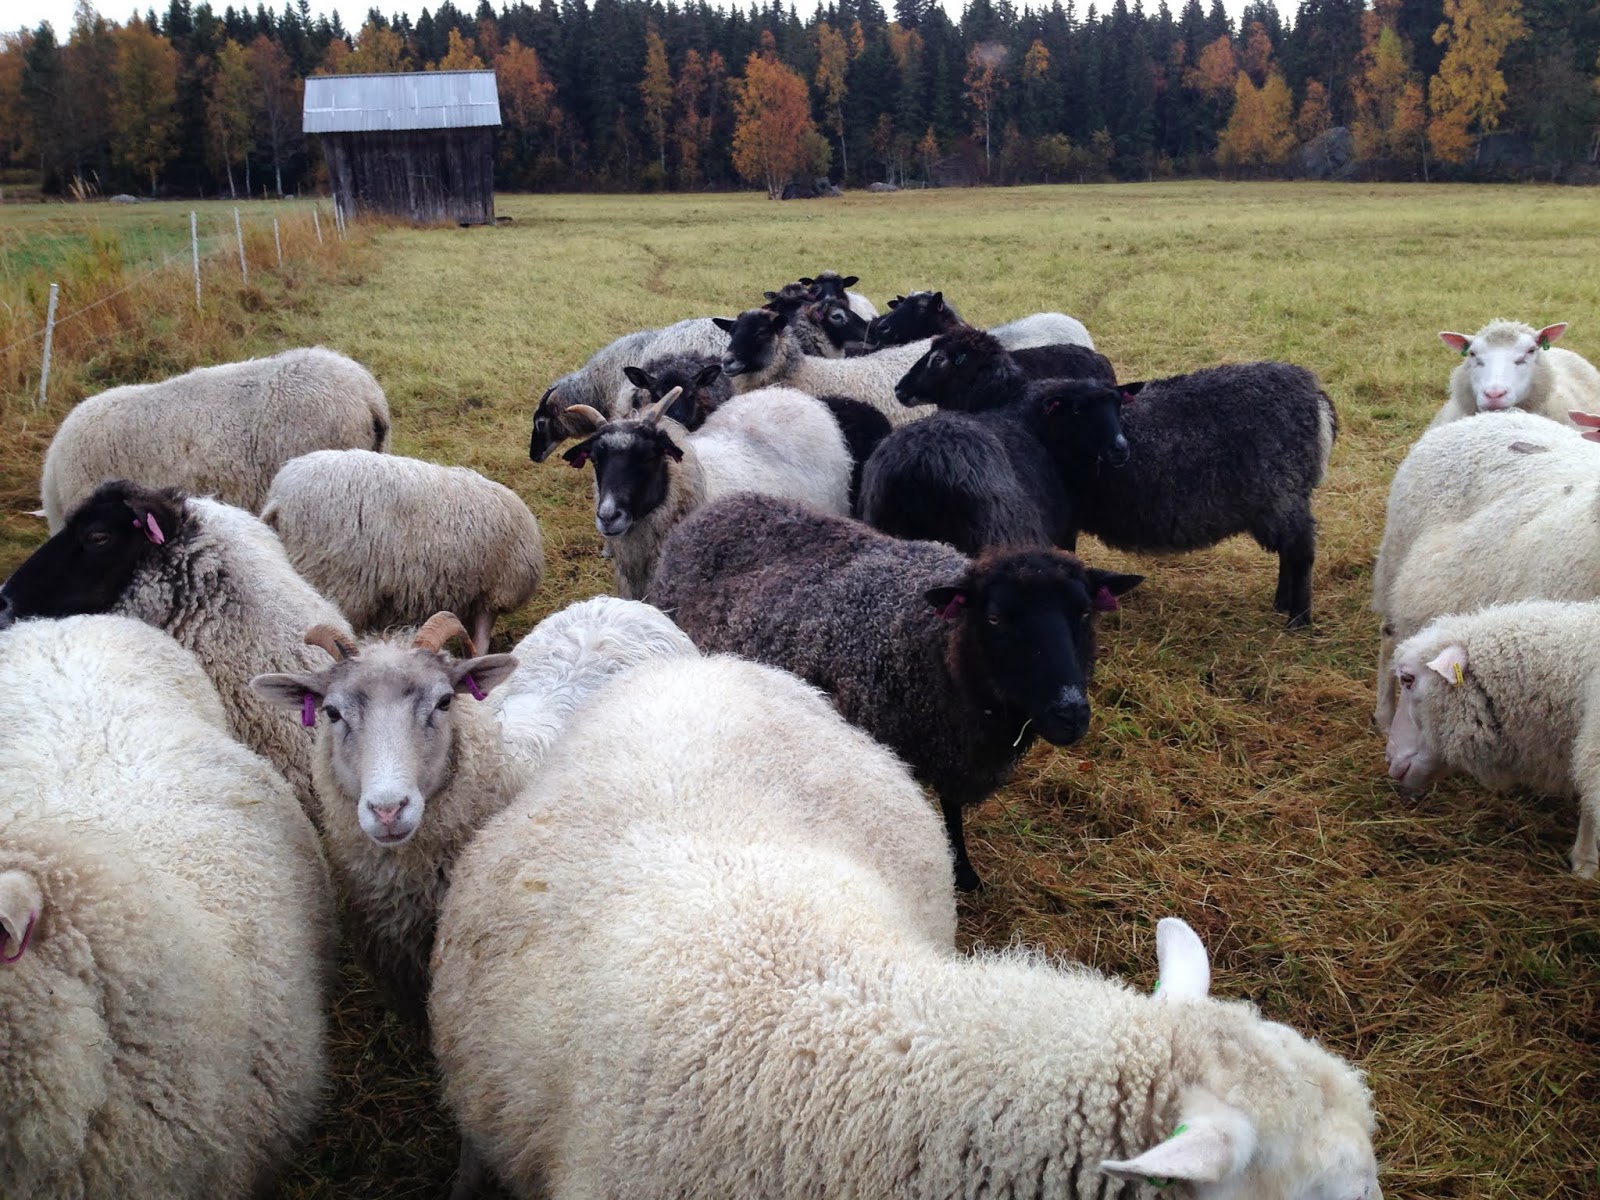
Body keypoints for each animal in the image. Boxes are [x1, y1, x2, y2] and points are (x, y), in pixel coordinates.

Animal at [651, 494, 1142, 891]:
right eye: (996, 618)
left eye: (1084, 611)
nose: (1070, 713)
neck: (931, 641)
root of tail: (720, 505)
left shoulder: (949, 750)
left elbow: (951, 809)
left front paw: (963, 872)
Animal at [860, 379, 1126, 554]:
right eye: (1078, 409)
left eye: (1117, 405)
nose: (1120, 448)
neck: (1036, 429)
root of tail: (920, 465)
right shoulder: (1062, 531)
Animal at [1040, 362, 1337, 628]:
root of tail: (1313, 393)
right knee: (1289, 550)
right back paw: (1282, 604)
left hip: (1281, 493)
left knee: (1301, 553)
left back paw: (1298, 619)